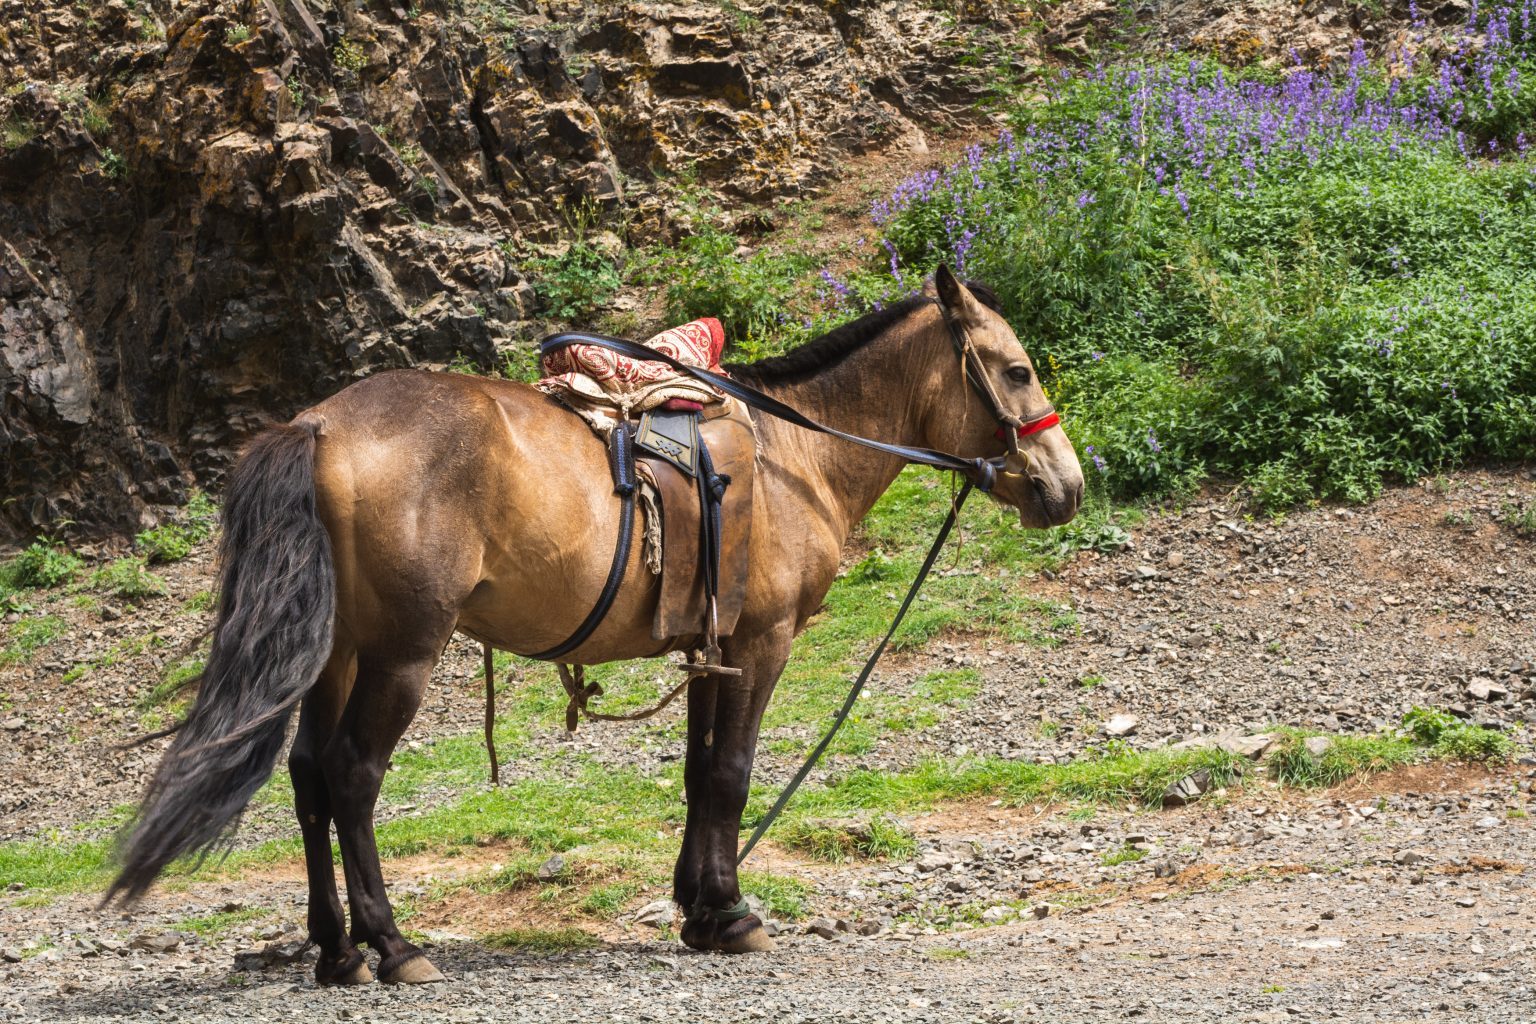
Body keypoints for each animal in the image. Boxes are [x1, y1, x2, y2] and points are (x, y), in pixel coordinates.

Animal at [107, 267, 1084, 985]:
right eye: (1017, 370)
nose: (1065, 485)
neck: (793, 456)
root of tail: (317, 424)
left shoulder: (709, 649)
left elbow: (699, 777)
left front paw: (701, 909)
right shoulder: (759, 644)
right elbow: (732, 775)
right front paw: (732, 915)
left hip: (338, 651)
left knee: (309, 776)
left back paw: (337, 950)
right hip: (401, 654)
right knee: (351, 777)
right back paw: (391, 945)